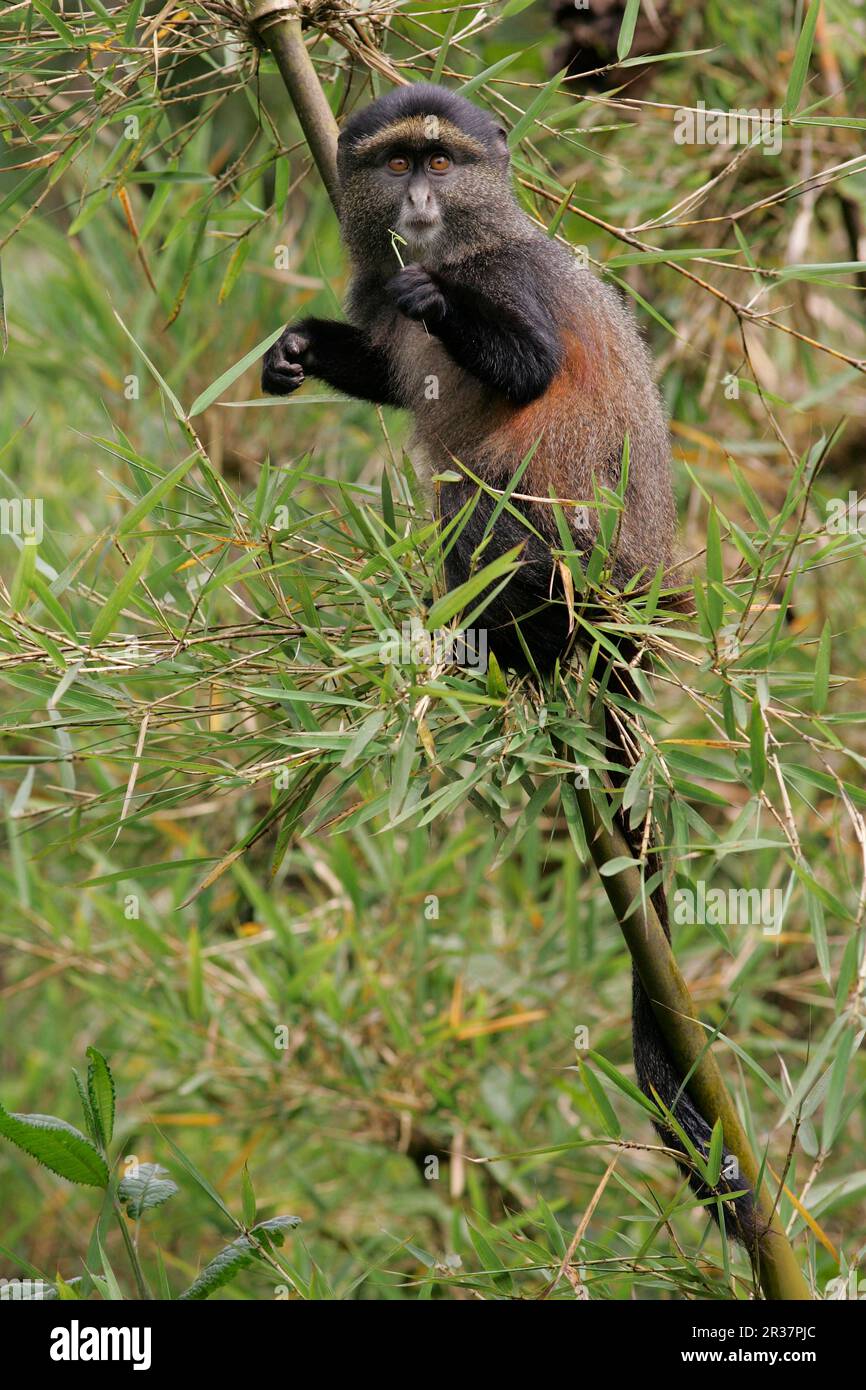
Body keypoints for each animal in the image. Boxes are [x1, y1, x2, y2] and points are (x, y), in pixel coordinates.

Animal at [261, 82, 757, 1248]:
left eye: (442, 162)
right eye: (396, 163)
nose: (418, 207)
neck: (469, 238)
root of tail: (622, 622)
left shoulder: (506, 281)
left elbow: (525, 364)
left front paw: (432, 301)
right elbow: (385, 368)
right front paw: (296, 346)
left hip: (559, 568)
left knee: (474, 501)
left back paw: (488, 645)